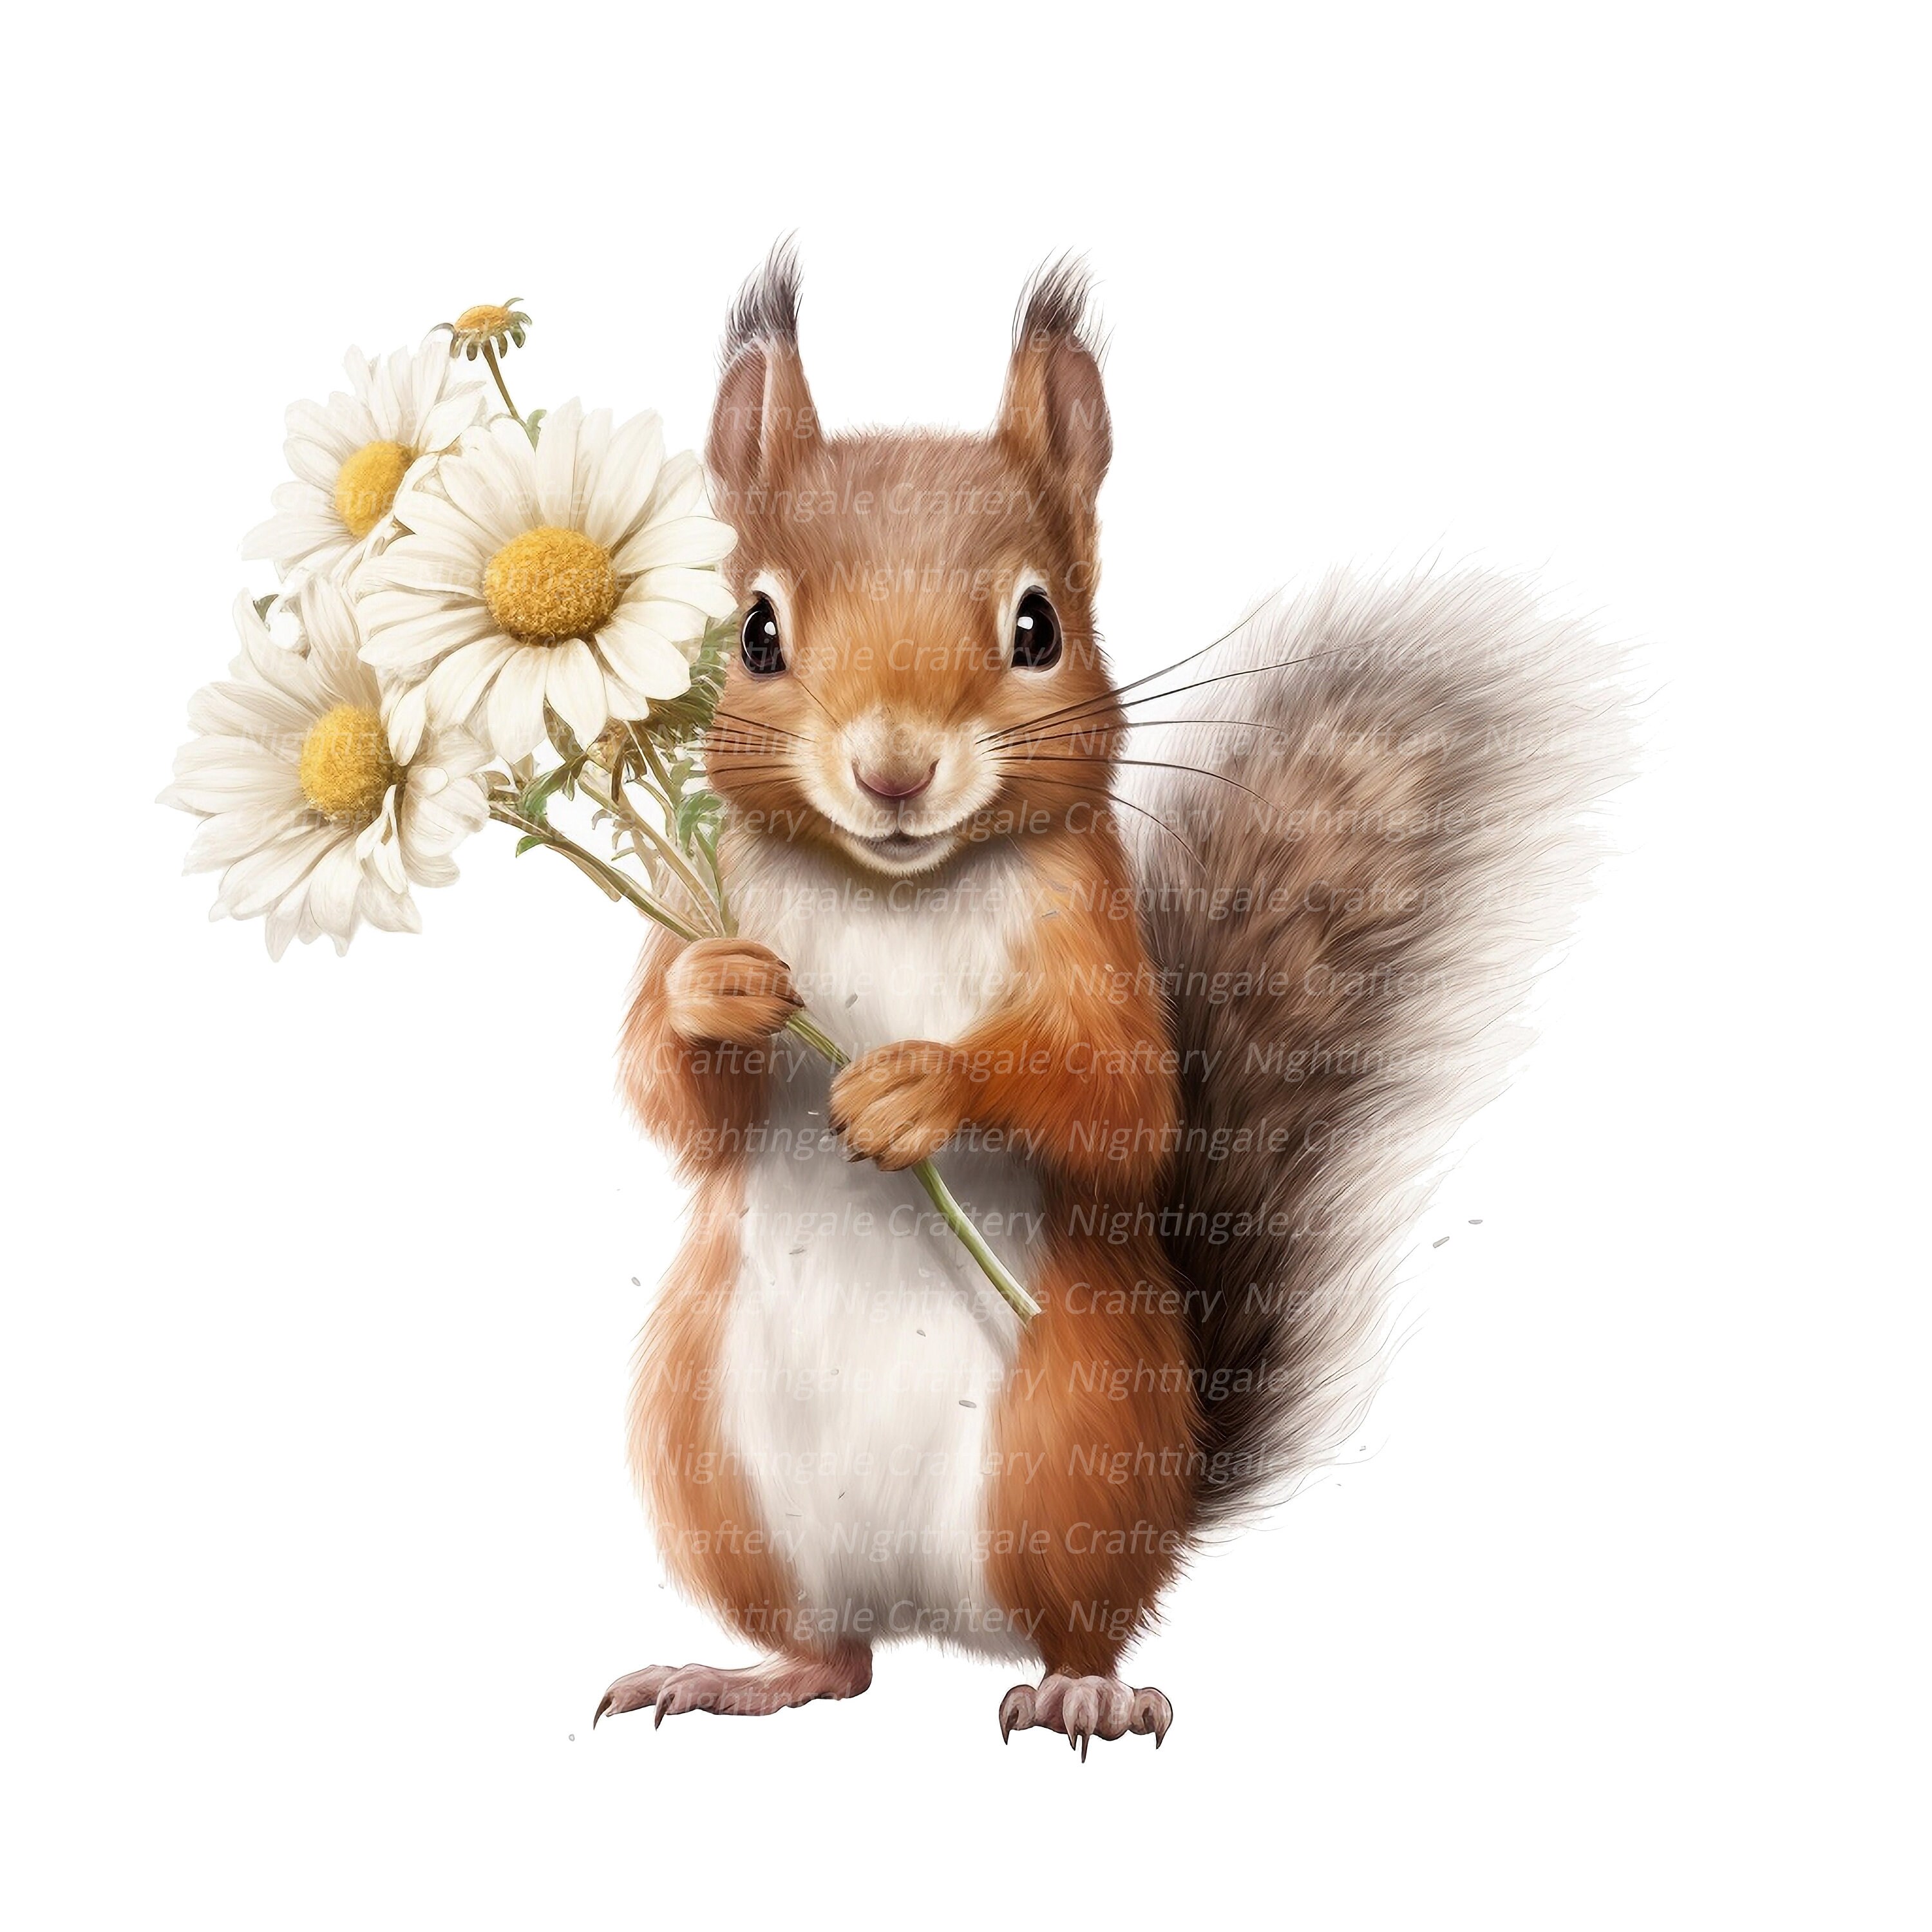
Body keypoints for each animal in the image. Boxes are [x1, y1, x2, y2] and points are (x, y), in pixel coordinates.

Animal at [597, 245, 1633, 1751]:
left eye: (1038, 626)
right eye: (757, 632)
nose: (893, 772)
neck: (899, 887)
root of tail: (930, 1616)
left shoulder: (1093, 947)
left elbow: (1116, 1097)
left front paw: (924, 1081)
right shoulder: (711, 890)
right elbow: (665, 1089)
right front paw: (716, 991)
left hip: (1069, 1450)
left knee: (1070, 1615)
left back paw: (1083, 1687)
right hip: (712, 1476)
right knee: (834, 1658)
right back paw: (740, 1673)